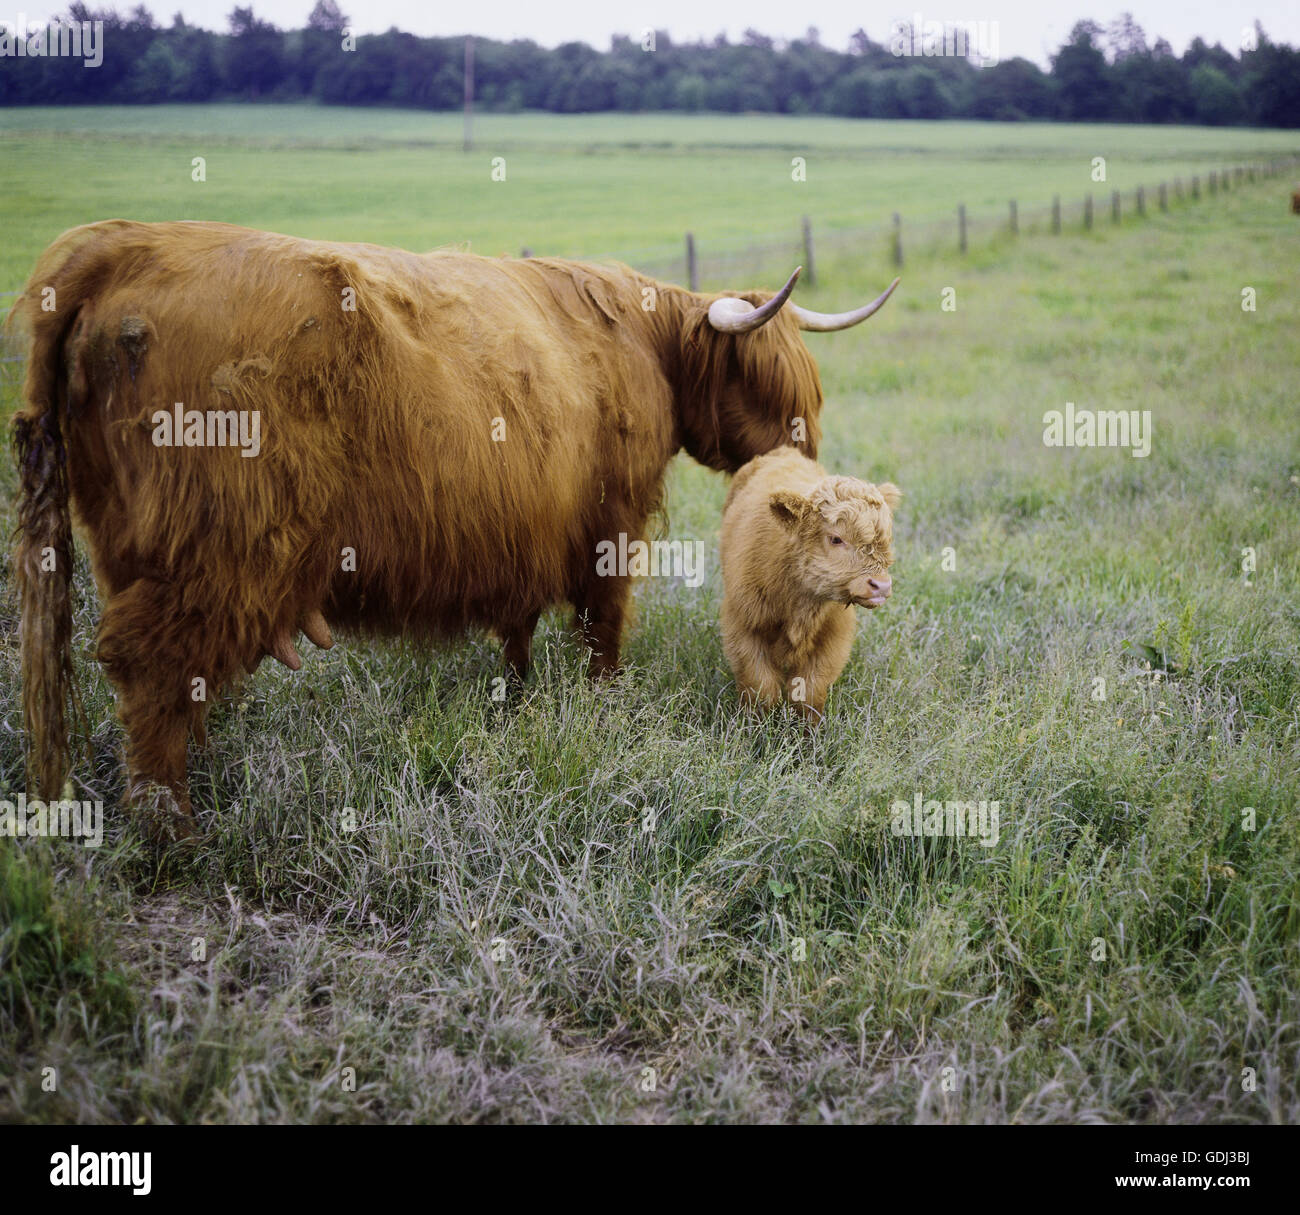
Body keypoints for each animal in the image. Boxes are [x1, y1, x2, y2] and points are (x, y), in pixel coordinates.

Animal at [719, 447, 901, 722]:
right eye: (836, 539)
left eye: (886, 541)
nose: (880, 585)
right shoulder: (742, 626)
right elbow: (761, 686)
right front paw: (757, 725)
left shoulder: (833, 637)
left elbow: (810, 690)